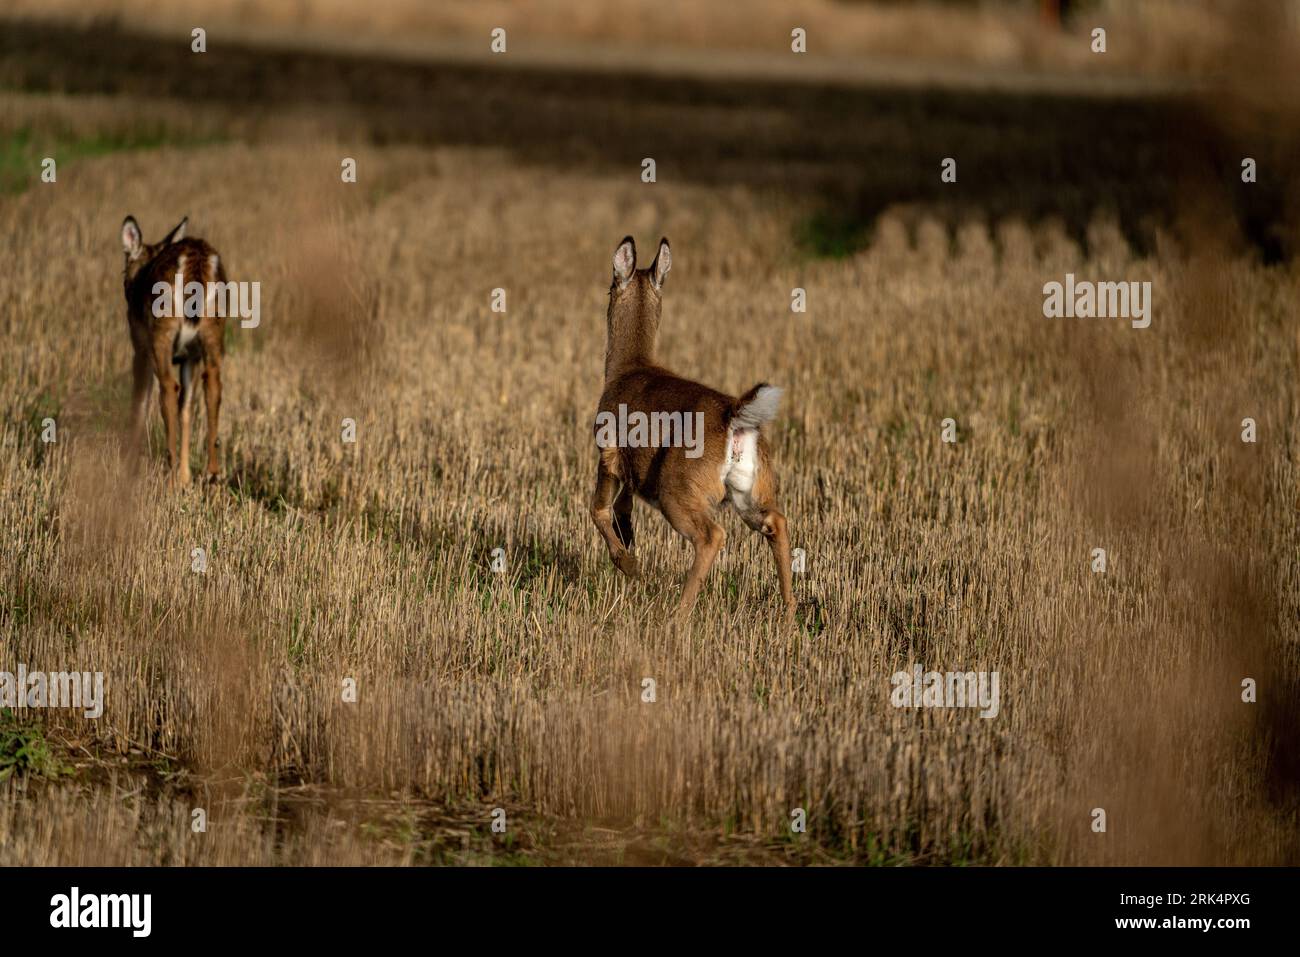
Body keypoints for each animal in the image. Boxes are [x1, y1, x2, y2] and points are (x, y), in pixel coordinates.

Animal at [120, 215, 226, 487]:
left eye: (126, 268)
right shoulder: (190, 356)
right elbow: (186, 409)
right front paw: (185, 478)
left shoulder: (141, 349)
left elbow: (139, 404)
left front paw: (129, 470)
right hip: (212, 332)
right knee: (212, 384)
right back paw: (211, 474)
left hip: (162, 331)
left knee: (168, 387)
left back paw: (169, 476)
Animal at [591, 236, 796, 622]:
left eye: (609, 286)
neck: (629, 368)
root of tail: (734, 416)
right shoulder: (635, 469)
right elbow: (623, 508)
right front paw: (629, 547)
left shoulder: (608, 450)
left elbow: (597, 510)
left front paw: (628, 564)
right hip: (750, 489)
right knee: (776, 521)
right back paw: (790, 608)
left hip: (678, 488)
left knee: (711, 535)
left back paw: (677, 614)